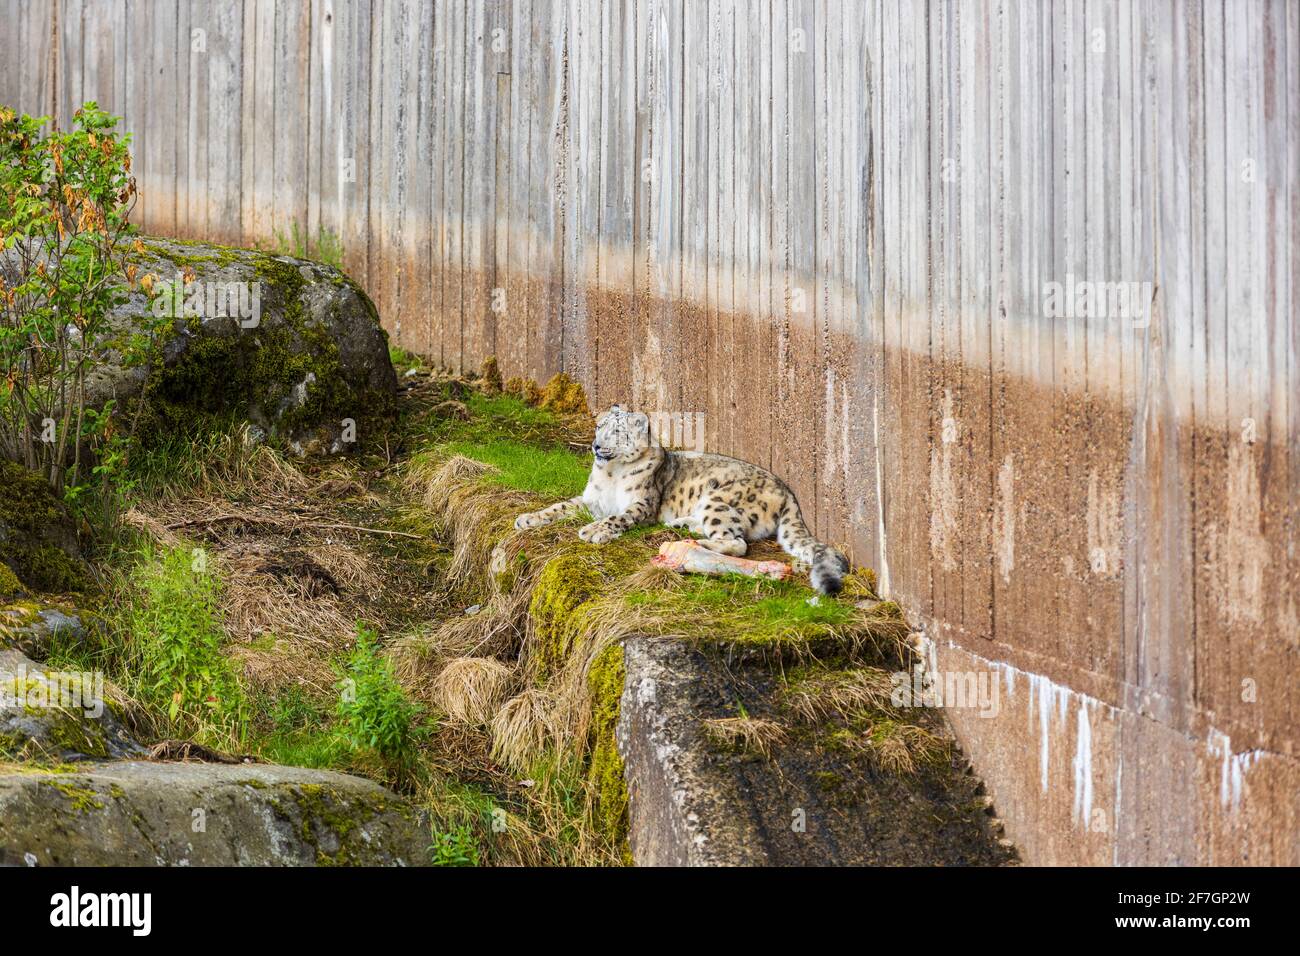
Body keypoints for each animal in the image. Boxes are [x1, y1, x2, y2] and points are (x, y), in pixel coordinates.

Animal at [513, 405, 850, 594]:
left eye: (617, 432)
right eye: (599, 426)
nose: (596, 446)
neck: (610, 473)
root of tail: (787, 490)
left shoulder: (641, 504)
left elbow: (618, 517)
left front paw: (594, 531)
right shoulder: (591, 501)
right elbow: (560, 506)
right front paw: (527, 518)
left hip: (718, 499)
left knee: (736, 542)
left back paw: (694, 543)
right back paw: (682, 526)